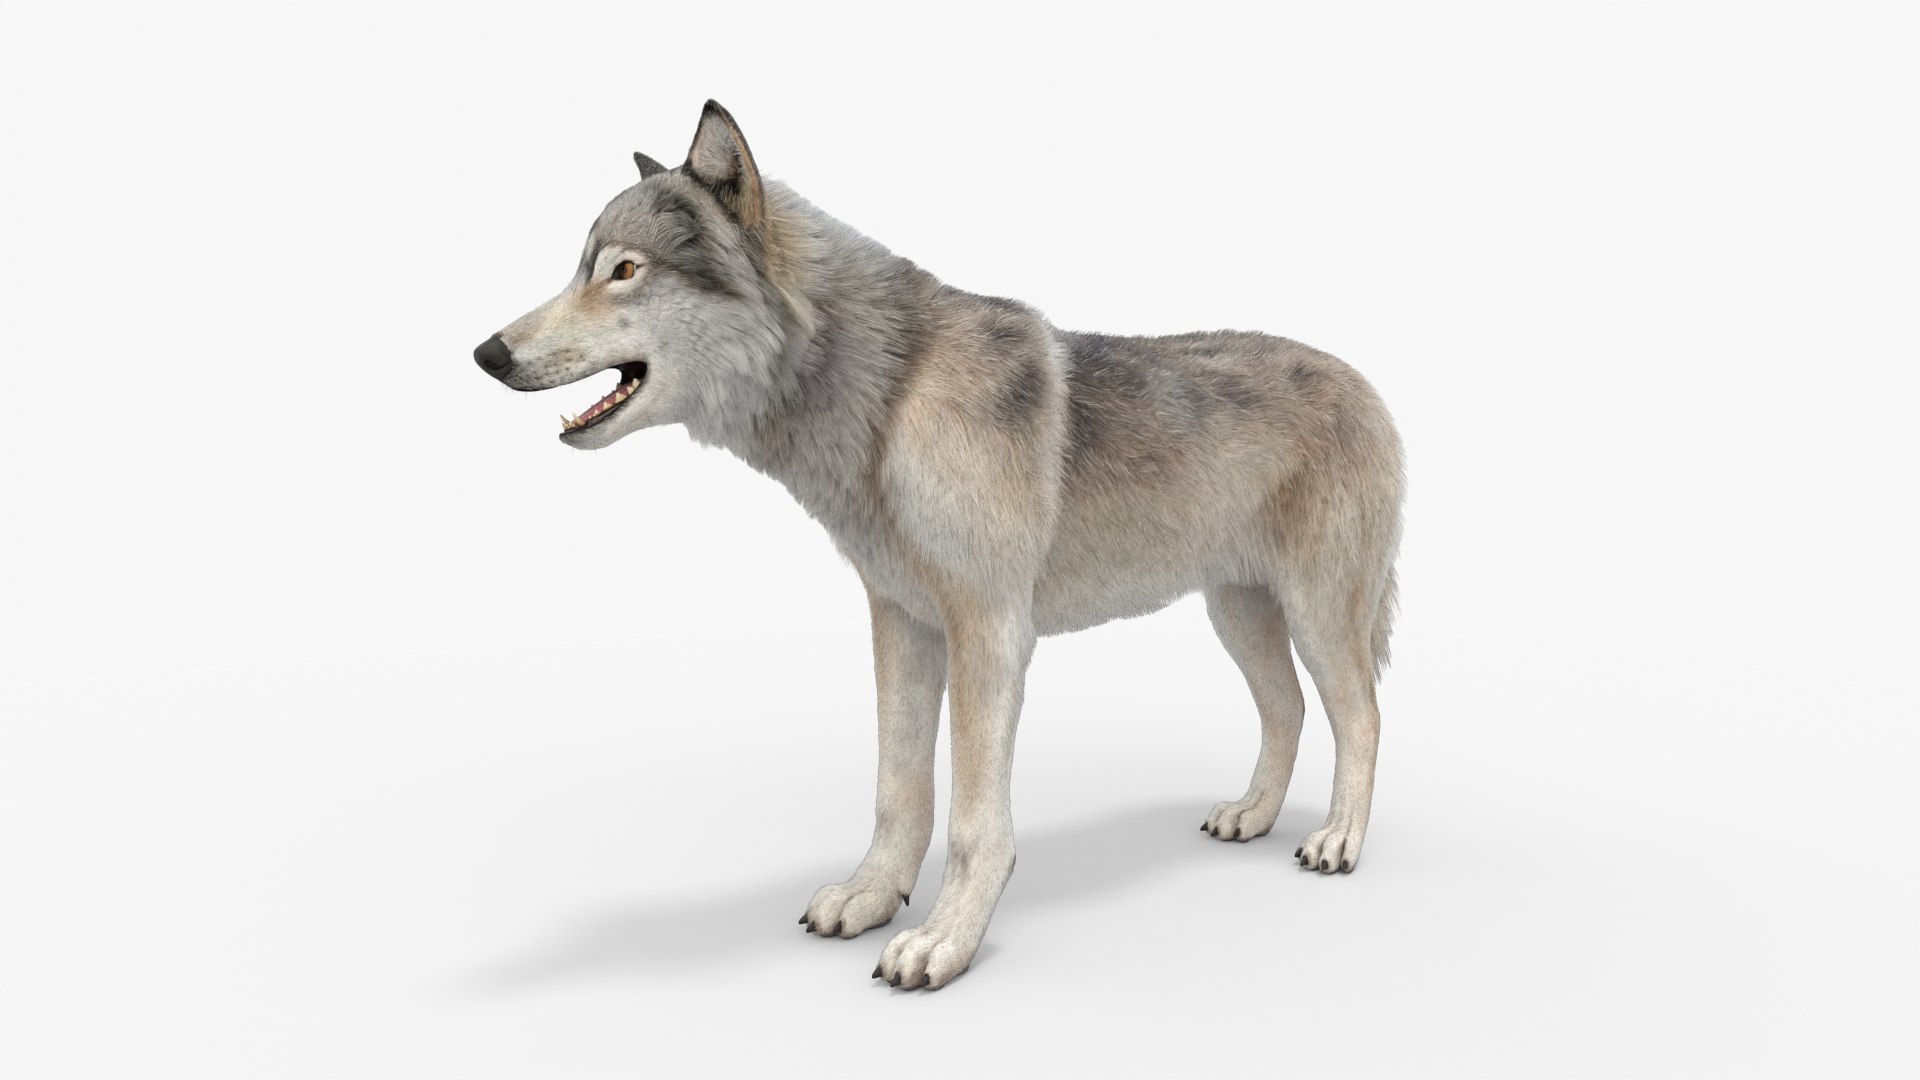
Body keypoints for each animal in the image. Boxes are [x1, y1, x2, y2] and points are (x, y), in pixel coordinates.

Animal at [474, 101, 1404, 990]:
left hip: (1315, 616)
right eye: (582, 266)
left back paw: (1337, 842)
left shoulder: (990, 633)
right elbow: (898, 789)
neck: (888, 404)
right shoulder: (902, 622)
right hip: (1236, 615)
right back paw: (1251, 816)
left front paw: (943, 943)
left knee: (1360, 714)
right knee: (1287, 709)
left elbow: (969, 821)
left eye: (623, 271)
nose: (487, 353)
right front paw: (872, 896)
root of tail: (1366, 383)